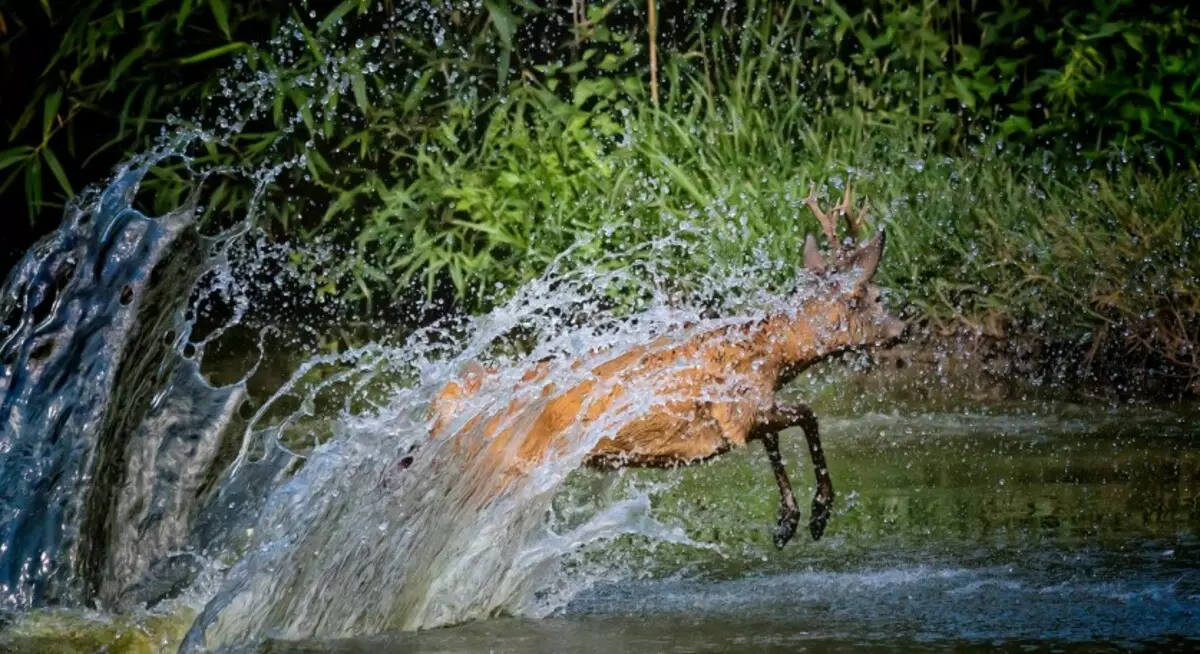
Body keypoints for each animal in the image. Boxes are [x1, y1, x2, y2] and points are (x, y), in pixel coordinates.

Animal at [427, 187, 902, 544]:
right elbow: (808, 415)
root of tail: (445, 403)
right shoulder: (735, 410)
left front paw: (787, 522)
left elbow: (777, 440)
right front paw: (818, 513)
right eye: (878, 297)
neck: (767, 354)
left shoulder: (746, 409)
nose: (903, 328)